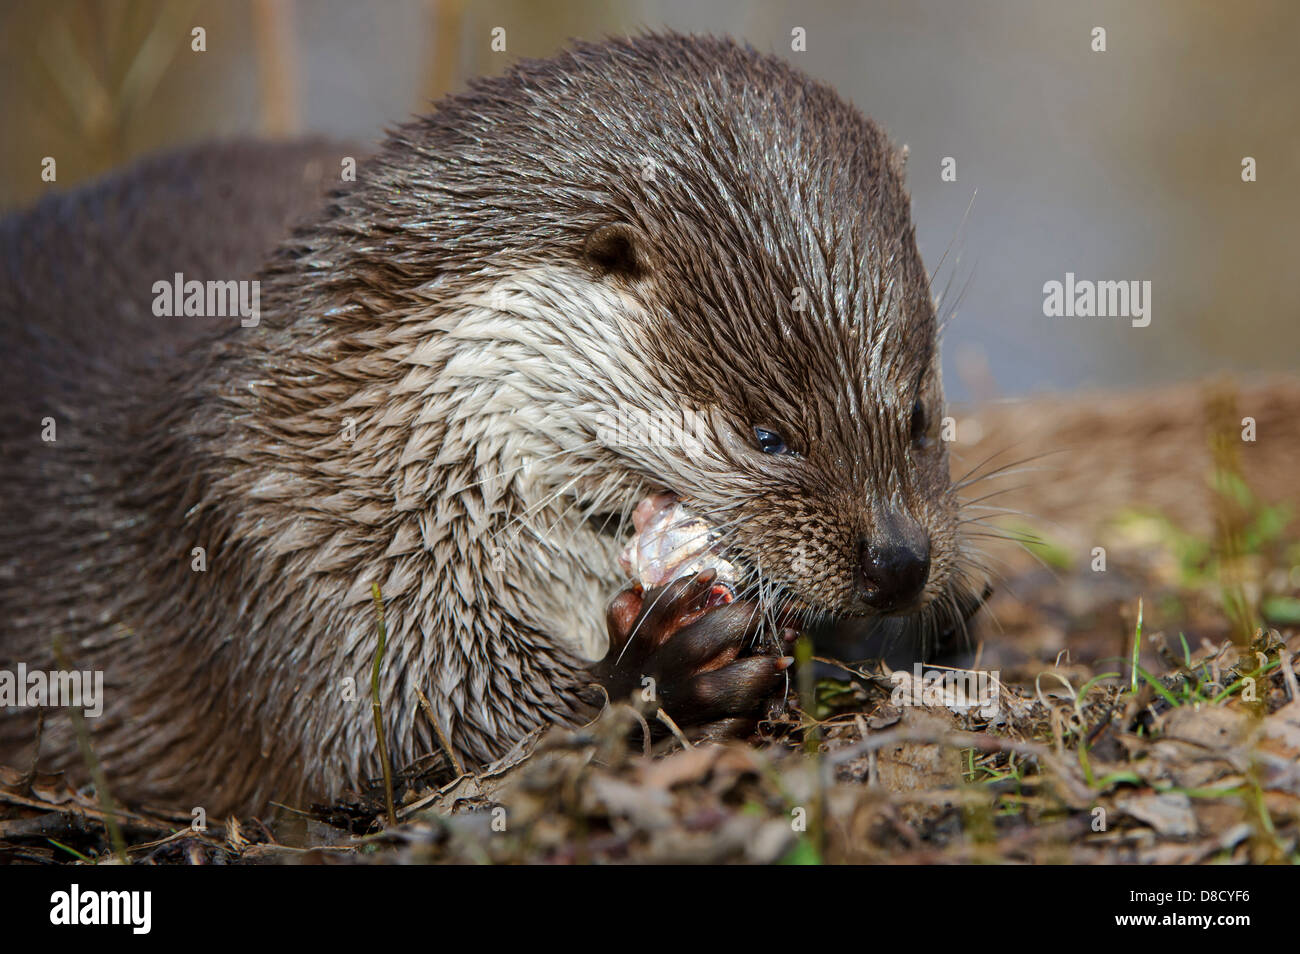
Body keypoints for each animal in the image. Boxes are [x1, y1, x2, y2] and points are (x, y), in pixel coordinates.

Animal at [0, 33, 983, 814]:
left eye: (917, 411)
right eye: (766, 434)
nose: (899, 561)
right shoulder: (283, 544)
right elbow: (395, 732)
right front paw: (658, 674)